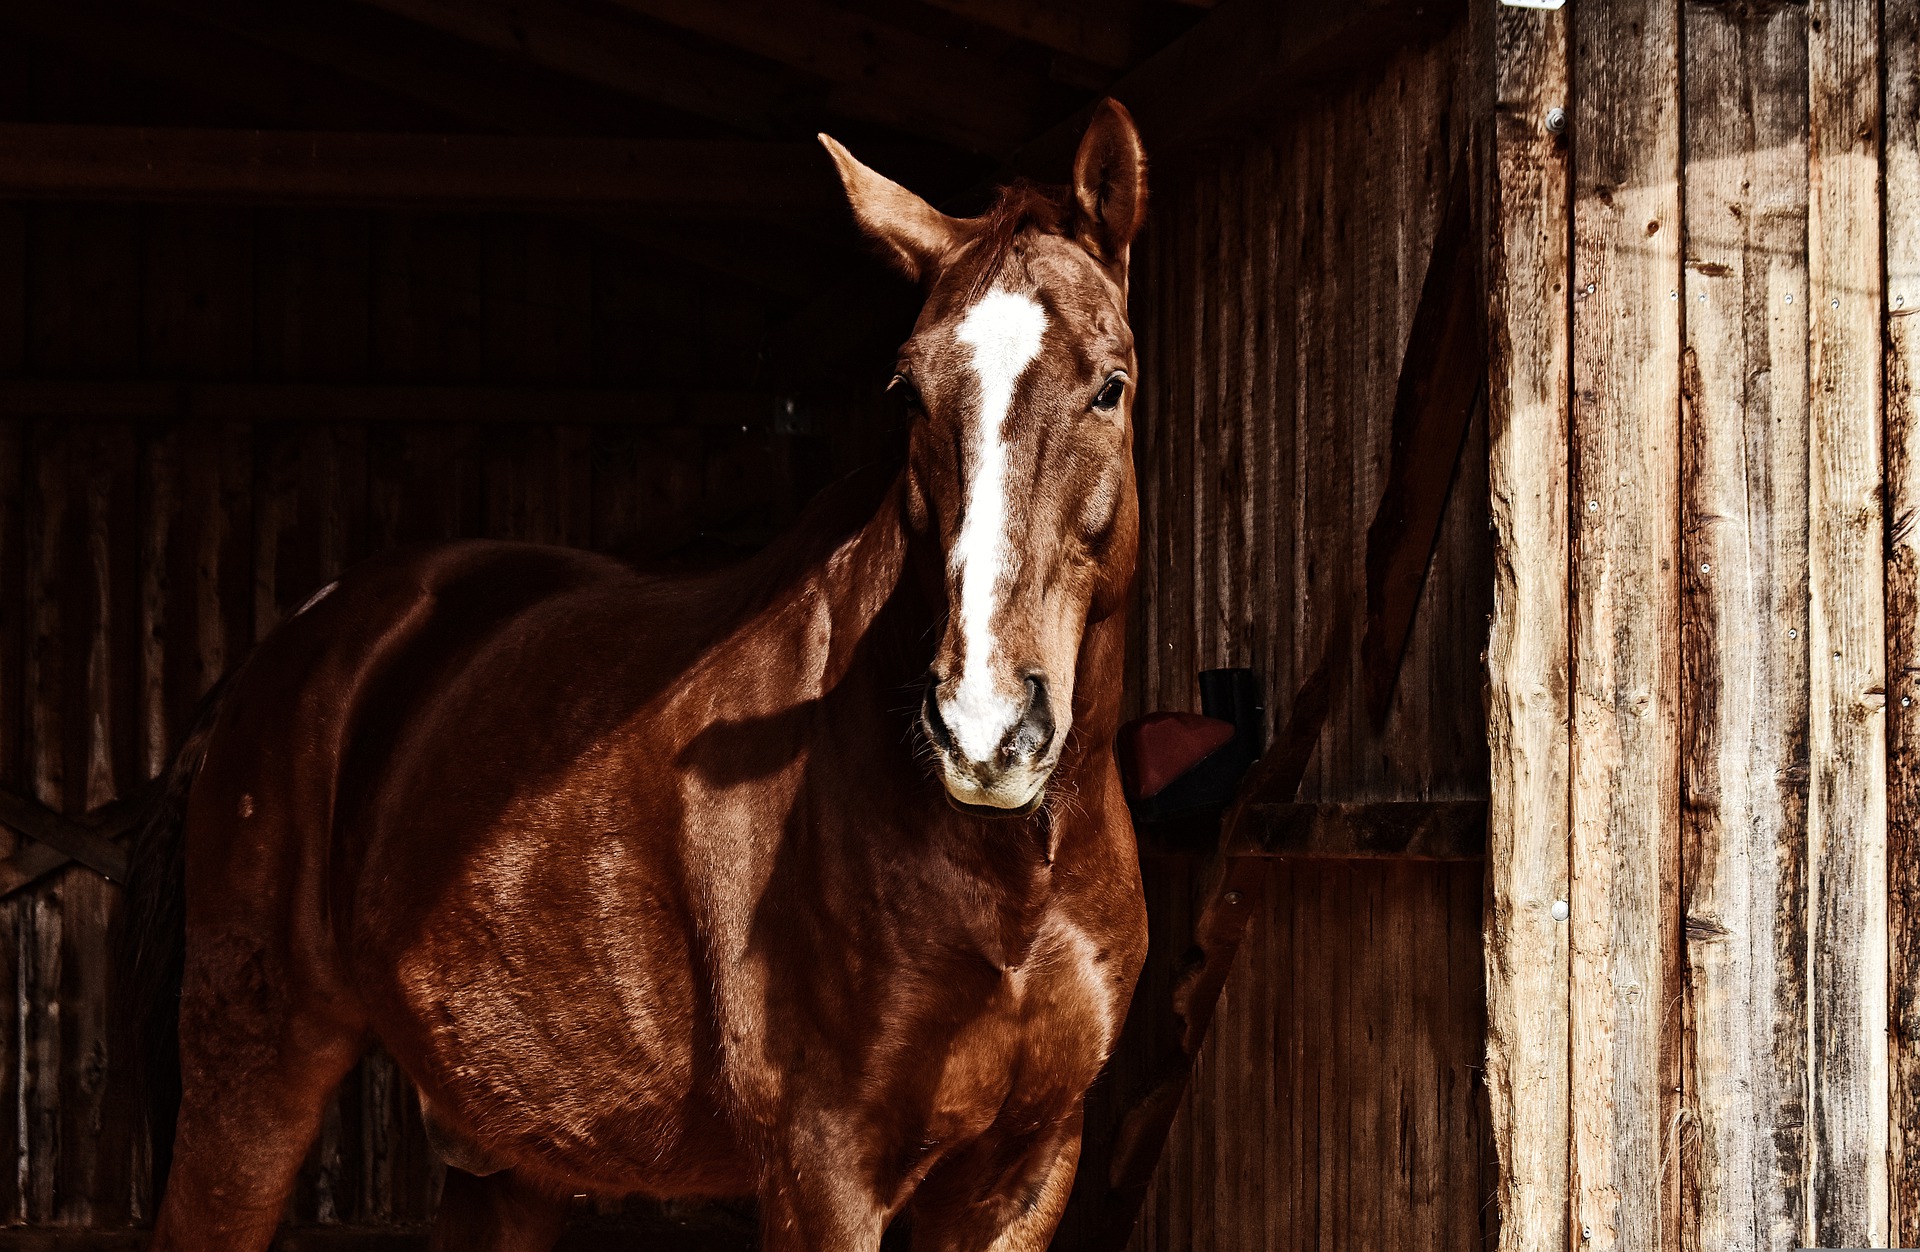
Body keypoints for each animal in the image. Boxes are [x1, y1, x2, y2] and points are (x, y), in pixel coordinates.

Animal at [127, 98, 1151, 1252]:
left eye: (1110, 386)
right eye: (908, 391)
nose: (981, 728)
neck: (1007, 879)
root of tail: (284, 650)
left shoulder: (1023, 1172)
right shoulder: (824, 1169)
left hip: (506, 1156)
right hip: (251, 1086)